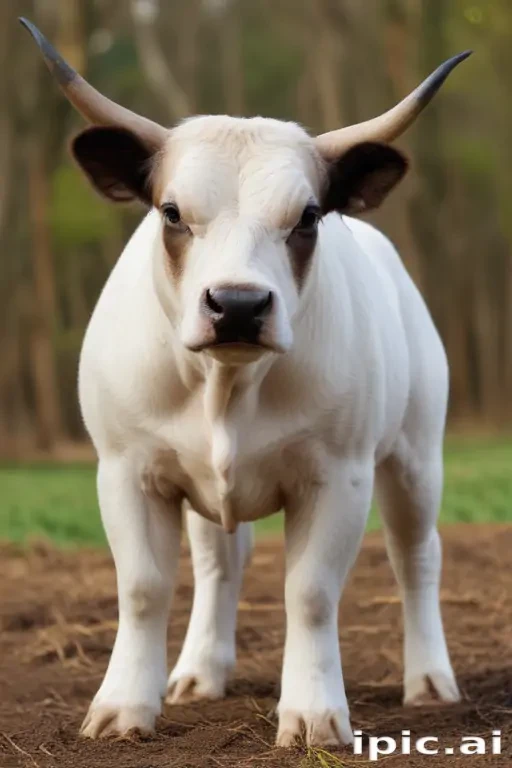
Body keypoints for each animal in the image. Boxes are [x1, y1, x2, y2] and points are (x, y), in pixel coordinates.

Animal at [21, 17, 470, 749]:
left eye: (308, 216)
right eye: (171, 213)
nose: (236, 304)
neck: (226, 387)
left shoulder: (338, 475)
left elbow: (310, 592)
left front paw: (313, 713)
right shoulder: (127, 468)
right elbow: (143, 587)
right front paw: (123, 707)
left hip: (416, 454)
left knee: (415, 554)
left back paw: (430, 680)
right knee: (220, 562)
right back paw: (200, 672)